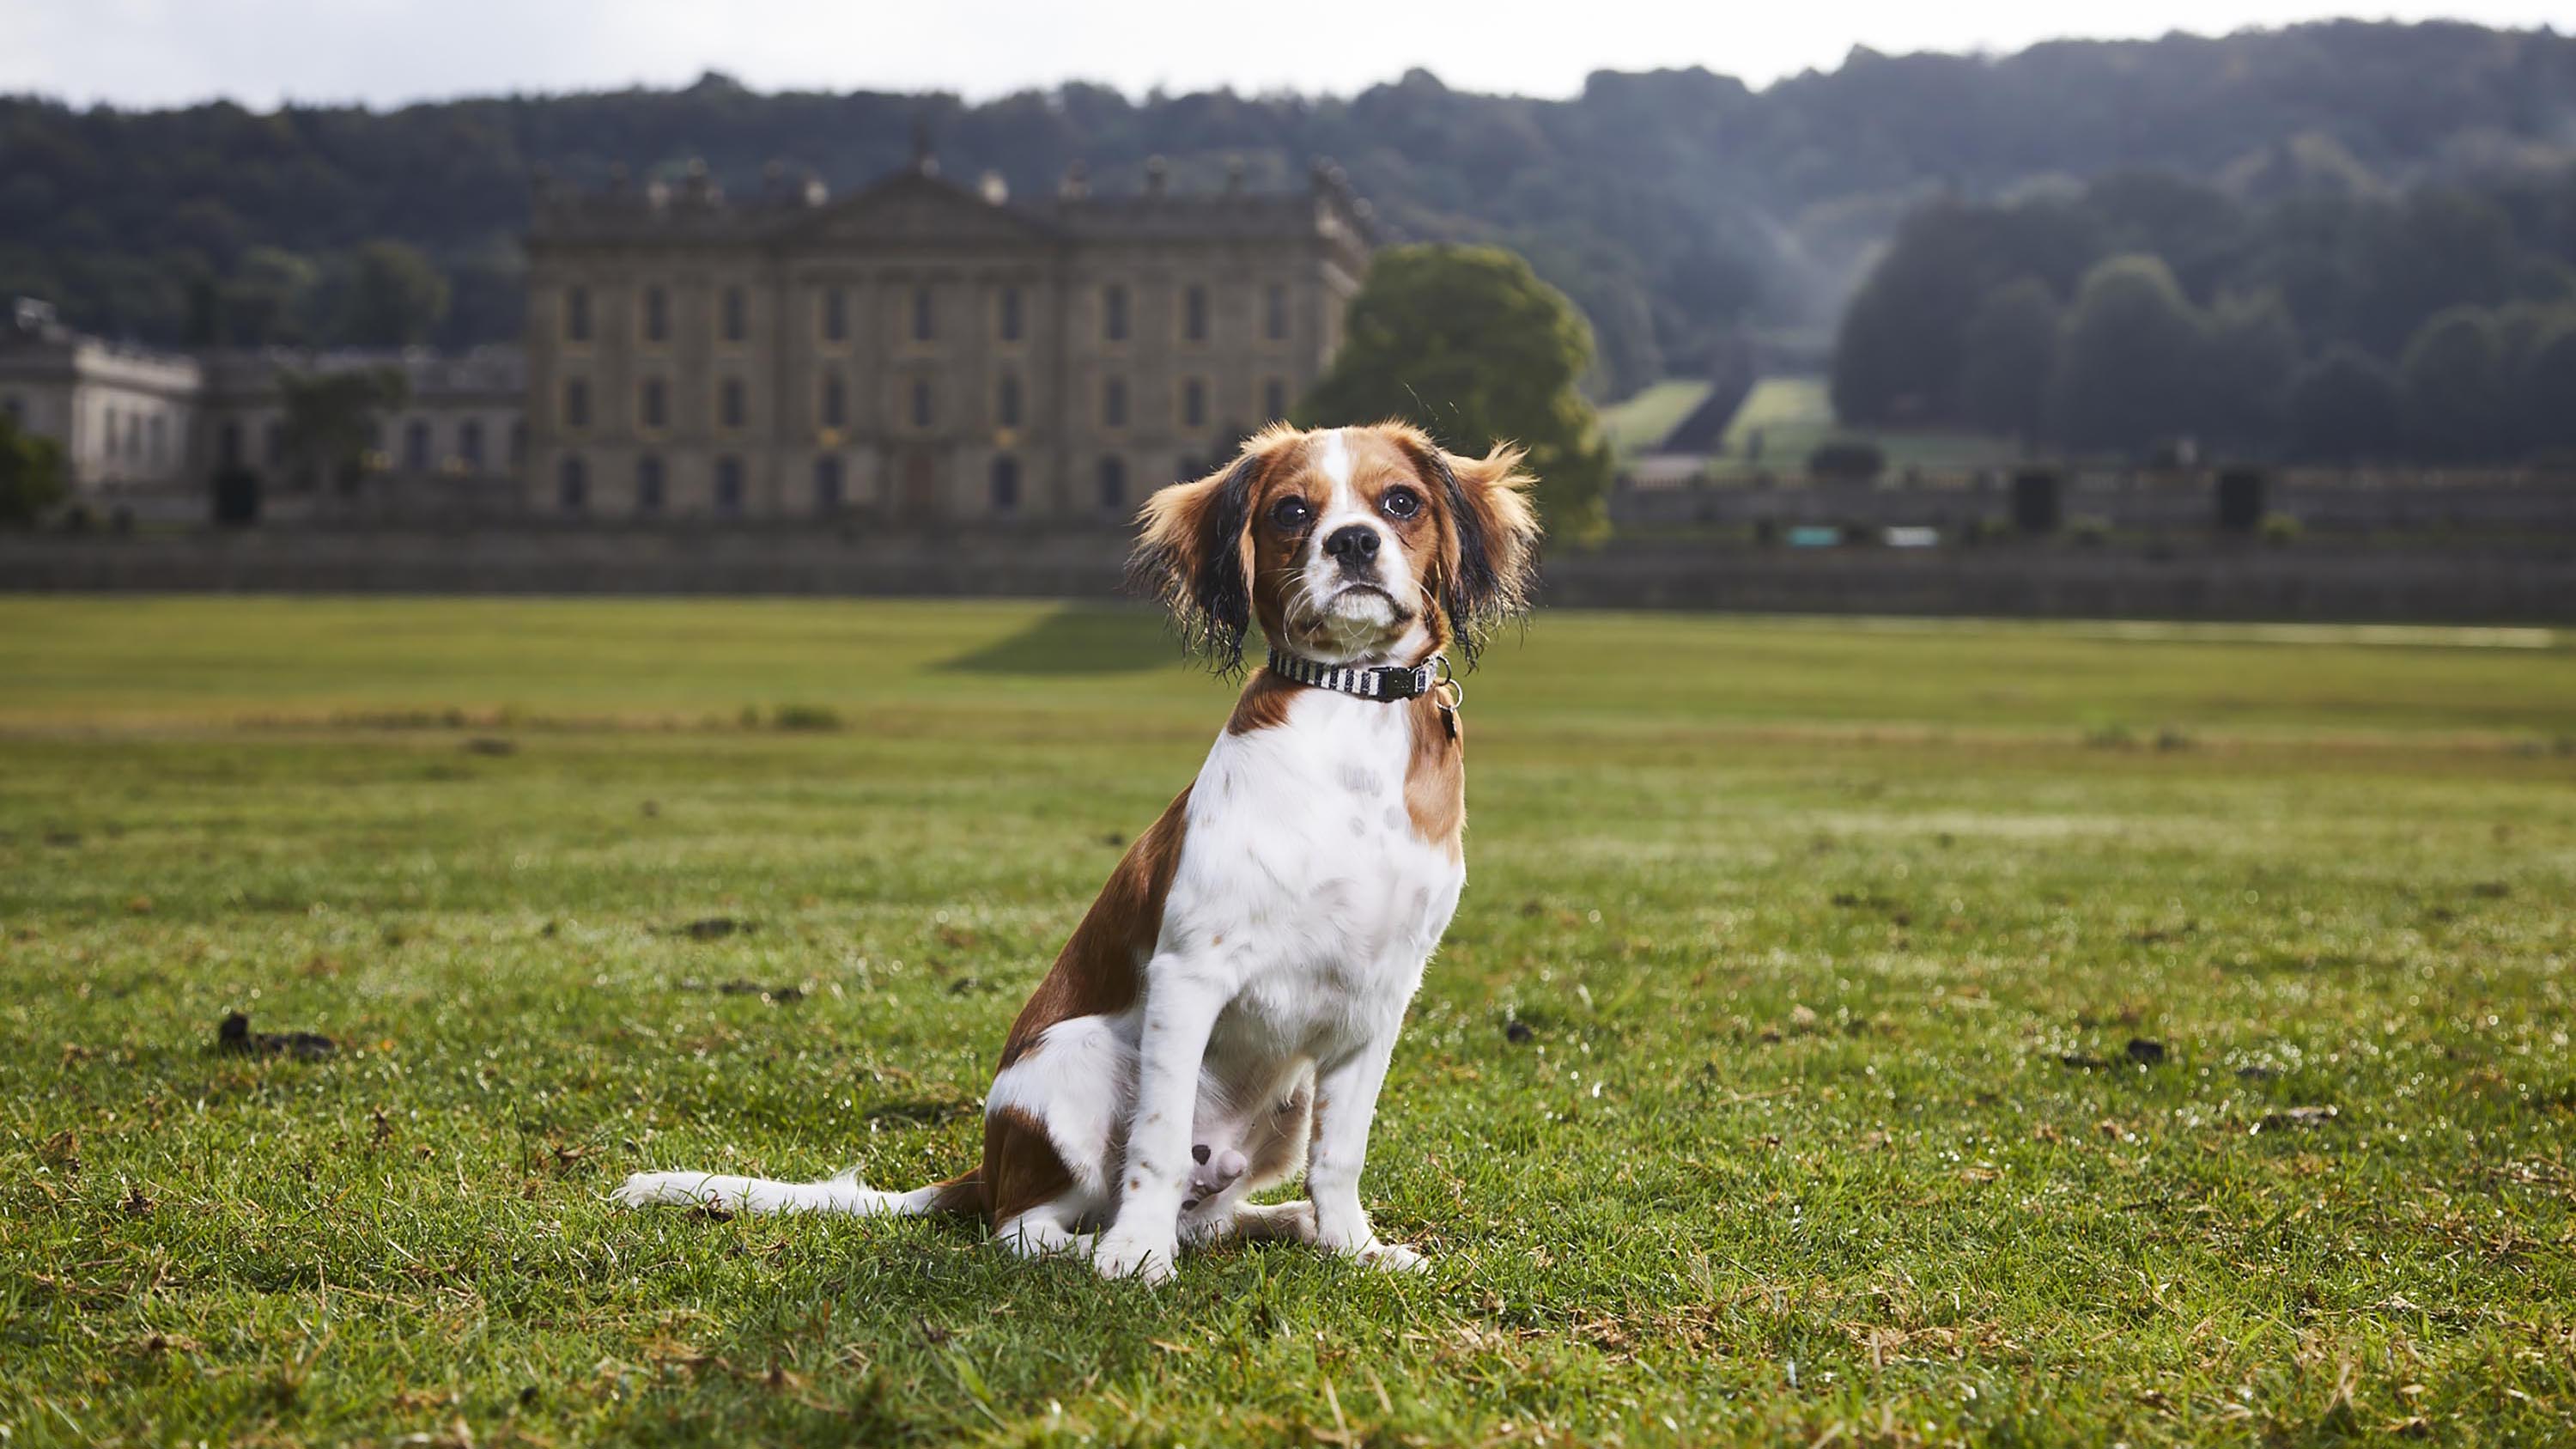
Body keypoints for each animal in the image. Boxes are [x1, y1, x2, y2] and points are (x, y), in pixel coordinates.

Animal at [618, 417, 1546, 1273]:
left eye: (1401, 503)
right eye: (1292, 510)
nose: (1353, 540)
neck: (1346, 715)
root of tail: (987, 1171)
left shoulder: (1378, 999)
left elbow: (1341, 1153)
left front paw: (1354, 1246)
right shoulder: (1190, 971)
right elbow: (1157, 1143)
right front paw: (1135, 1259)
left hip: (1280, 1108)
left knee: (1213, 1213)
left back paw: (1285, 1222)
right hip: (1077, 1057)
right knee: (1028, 1226)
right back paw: (1099, 1245)